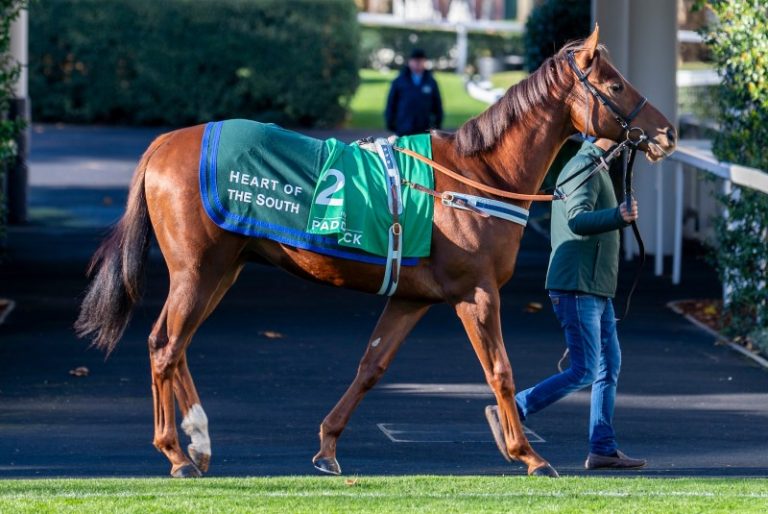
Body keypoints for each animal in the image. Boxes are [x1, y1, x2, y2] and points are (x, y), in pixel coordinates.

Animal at [76, 26, 676, 478]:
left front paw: (327, 447)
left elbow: (371, 366)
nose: (667, 133)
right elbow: (500, 370)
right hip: (196, 270)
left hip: (223, 270)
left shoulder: (412, 299)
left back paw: (198, 442)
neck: (478, 177)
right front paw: (527, 454)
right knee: (164, 346)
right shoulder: (475, 293)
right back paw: (176, 454)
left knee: (177, 345)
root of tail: (164, 143)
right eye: (616, 84)